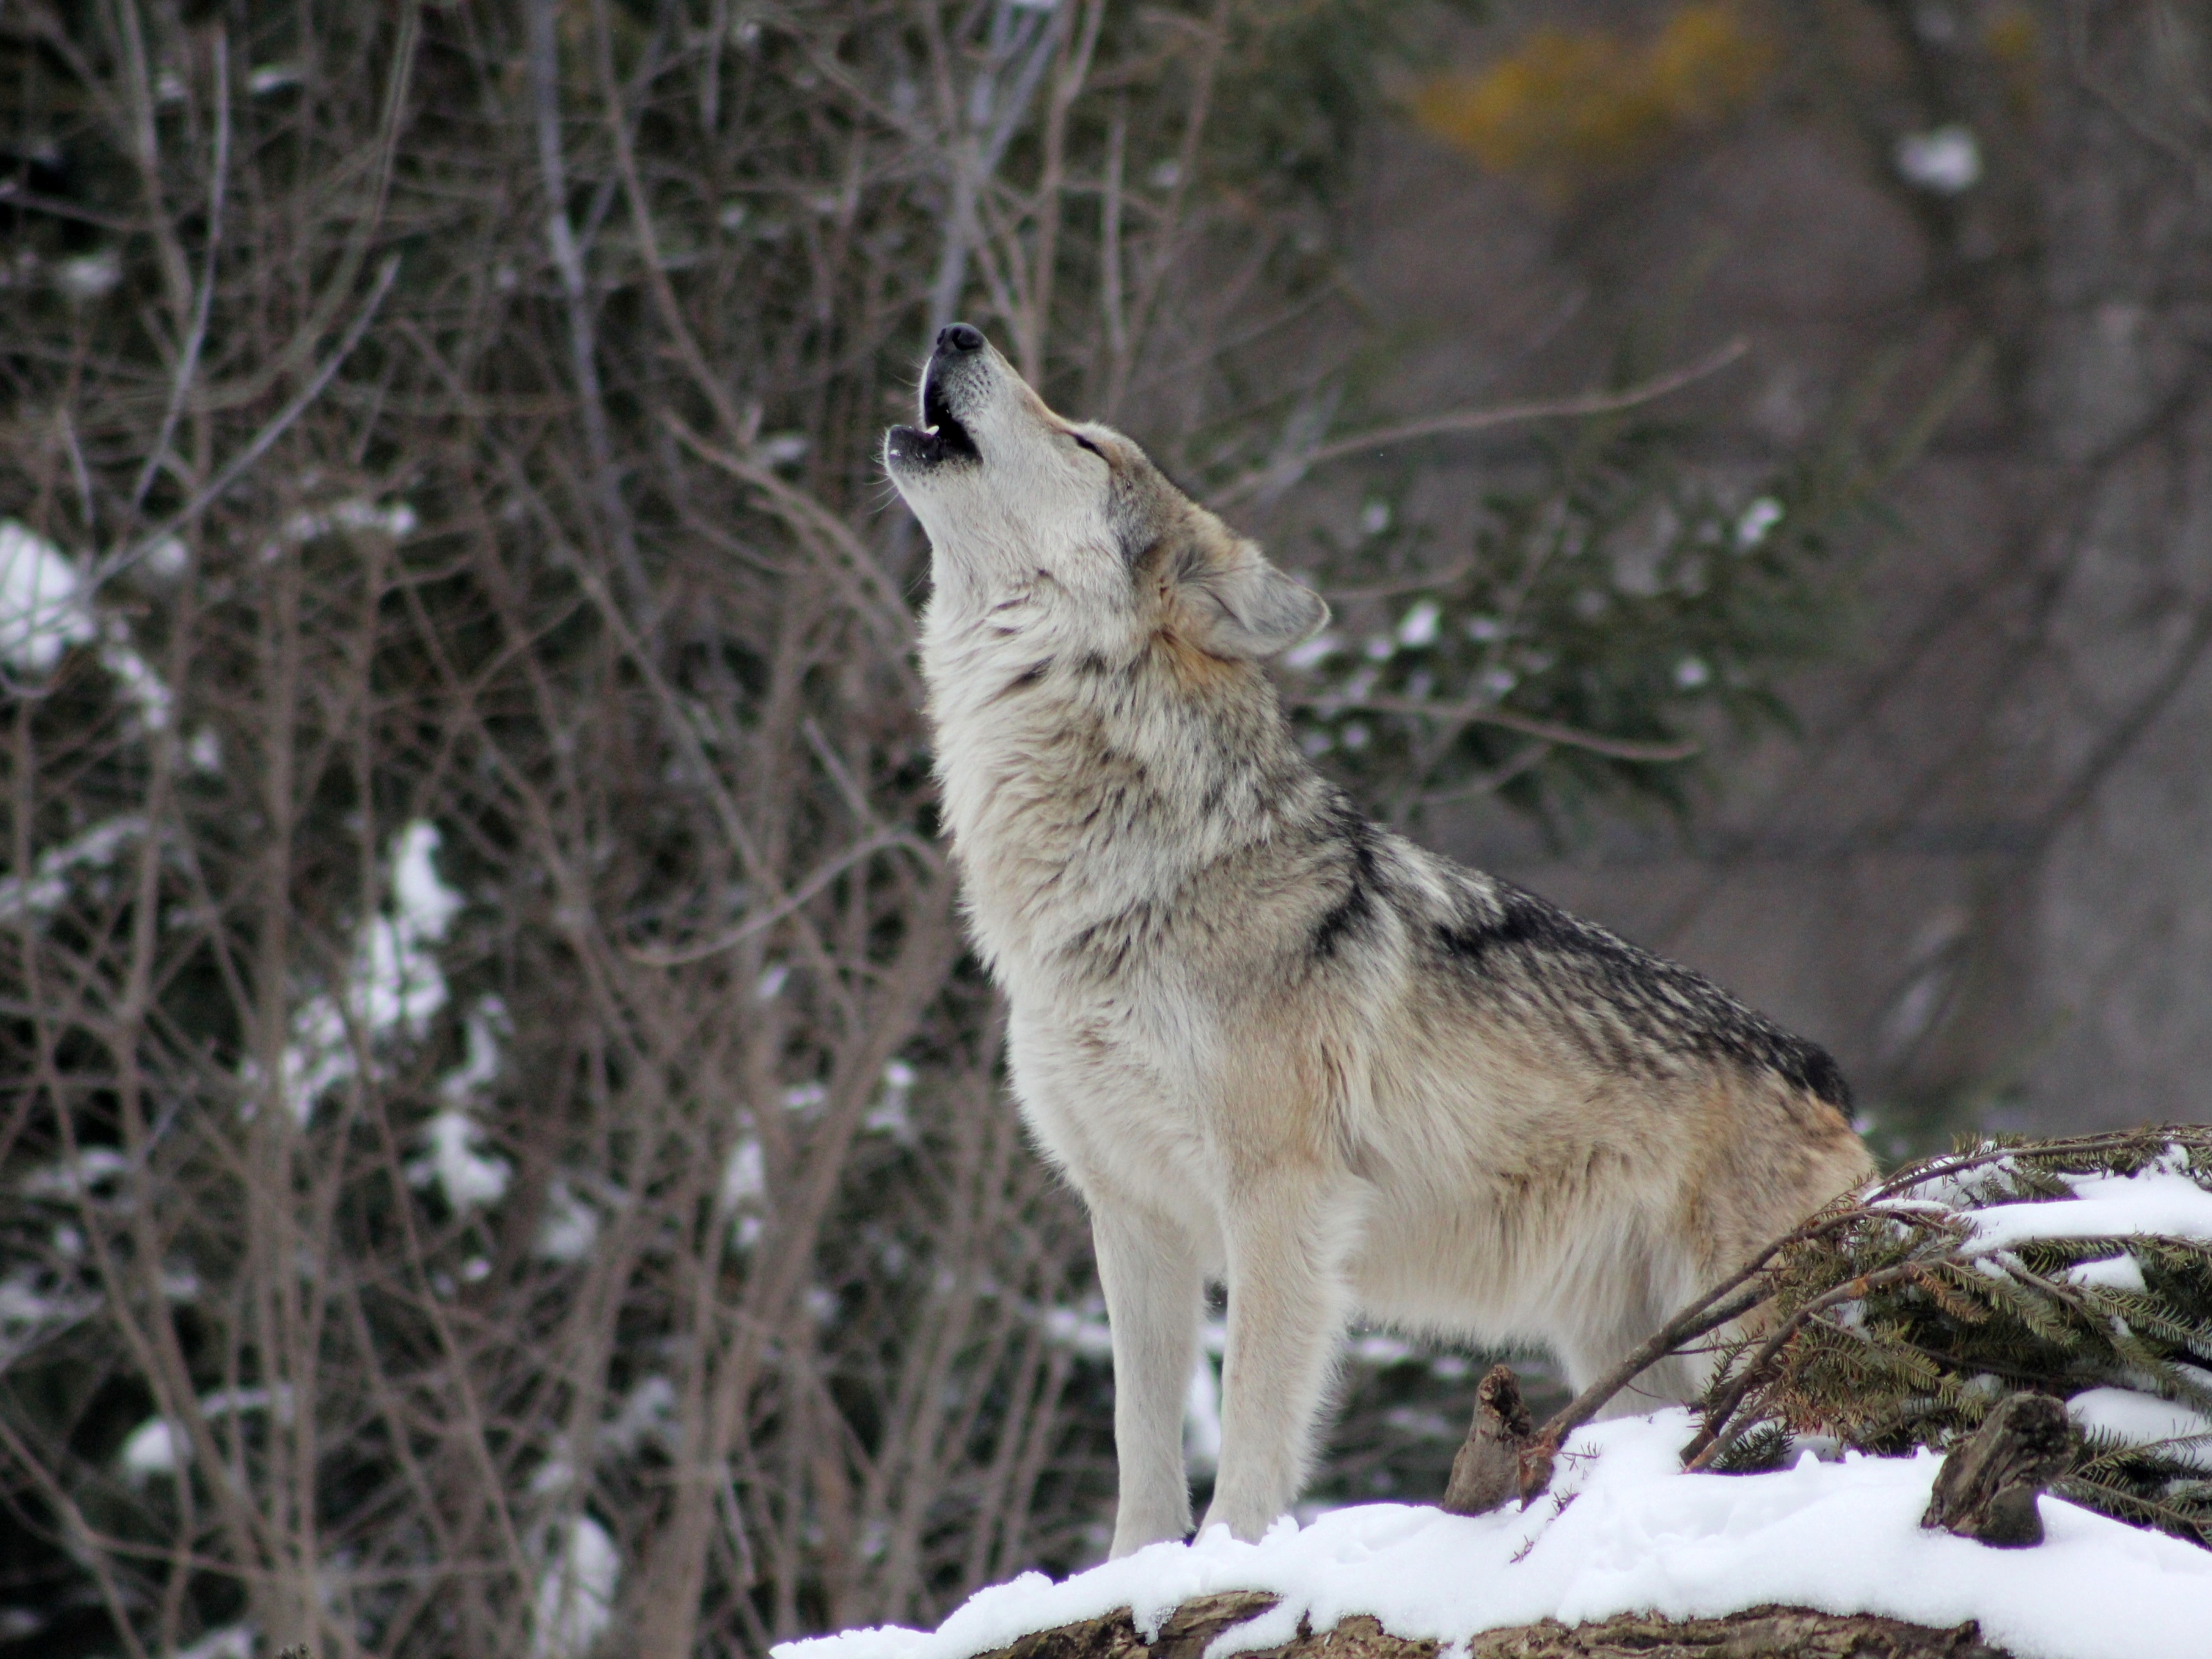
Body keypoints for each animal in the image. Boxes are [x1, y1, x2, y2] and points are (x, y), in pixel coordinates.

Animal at [884, 323, 1874, 1557]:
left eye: (1085, 442)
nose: (956, 331)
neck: (1126, 879)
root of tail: (1825, 1074)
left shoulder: (1281, 1199)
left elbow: (1253, 1420)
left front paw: (1228, 1562)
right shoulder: (1133, 1215)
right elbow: (1140, 1445)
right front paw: (1132, 1574)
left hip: (1745, 1332)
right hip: (1630, 1357)